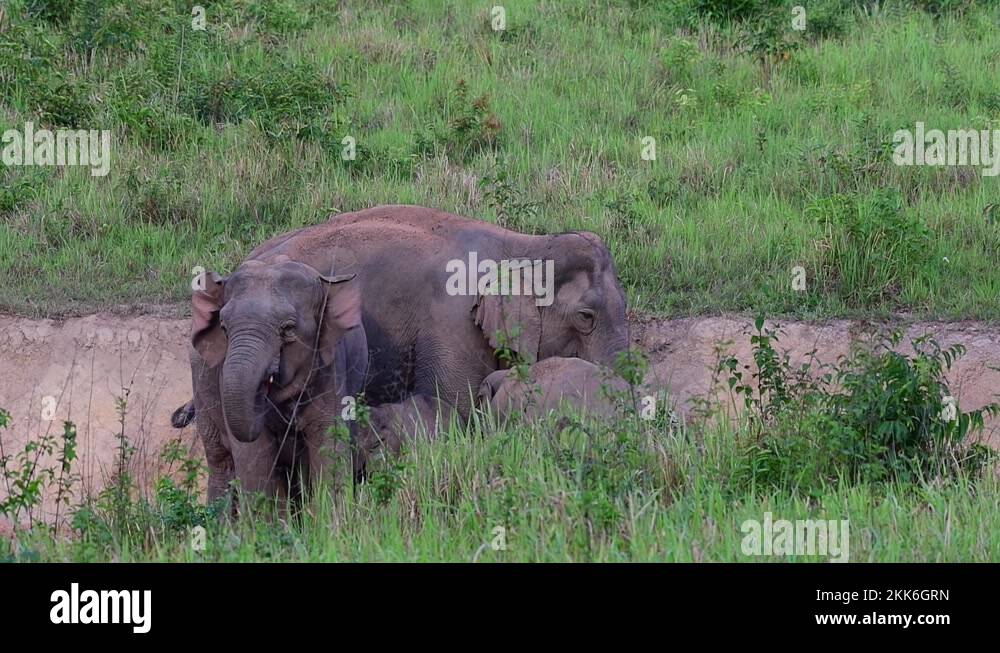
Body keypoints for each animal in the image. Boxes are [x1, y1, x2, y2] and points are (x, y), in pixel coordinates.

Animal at [173, 255, 368, 508]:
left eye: (288, 328)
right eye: (224, 328)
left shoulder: (332, 369)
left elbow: (330, 446)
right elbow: (254, 460)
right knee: (221, 462)